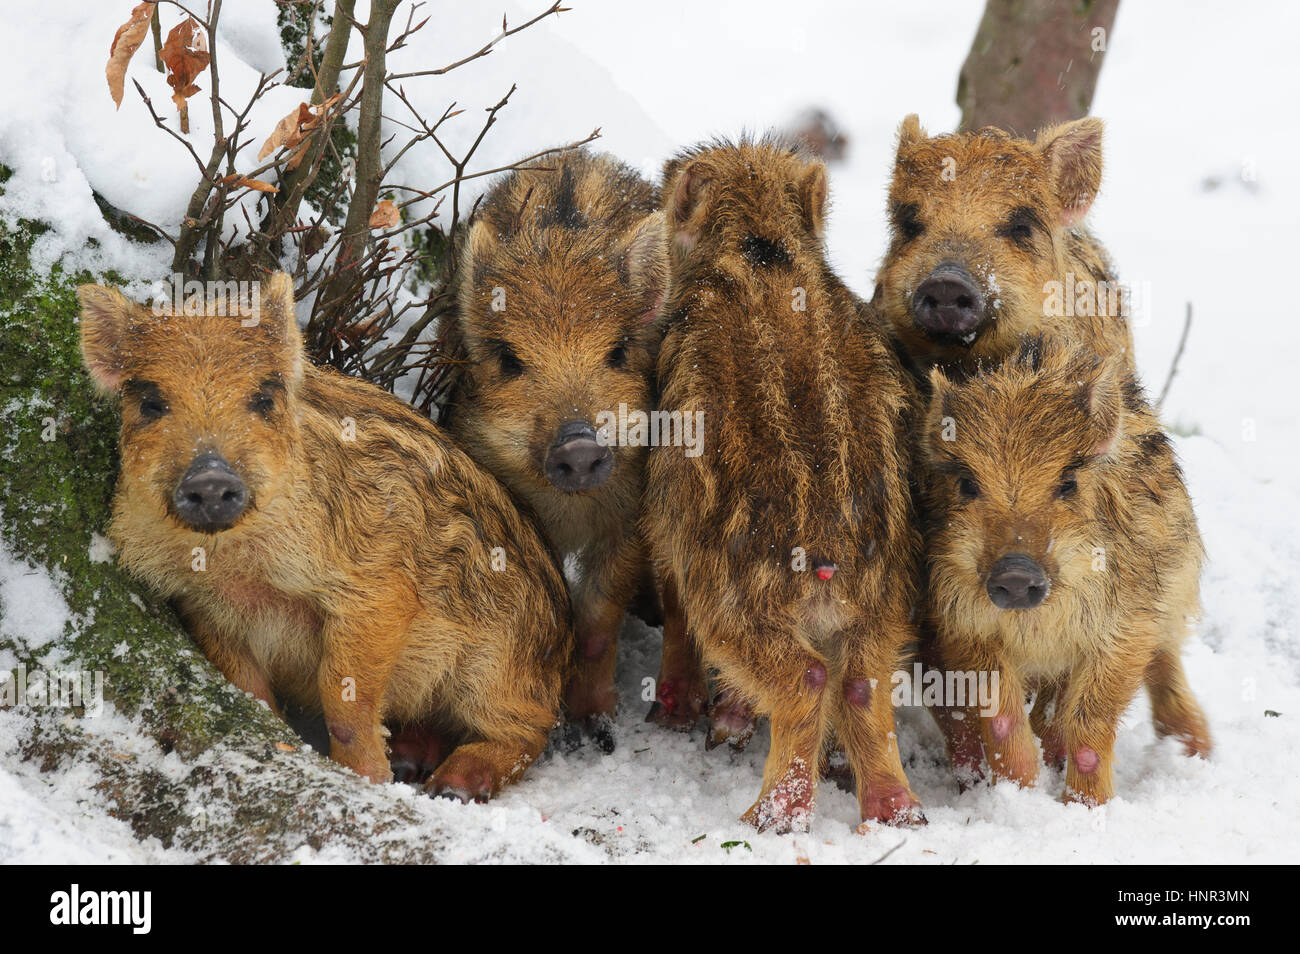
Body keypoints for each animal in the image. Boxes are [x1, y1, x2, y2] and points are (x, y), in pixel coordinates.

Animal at [77, 273, 574, 802]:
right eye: (151, 403)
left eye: (264, 399)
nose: (210, 477)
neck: (236, 567)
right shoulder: (202, 606)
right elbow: (247, 687)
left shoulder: (378, 586)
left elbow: (343, 693)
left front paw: (370, 780)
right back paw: (412, 761)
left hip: (504, 660)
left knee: (528, 728)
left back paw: (449, 788)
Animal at [443, 150, 675, 750]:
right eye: (509, 359)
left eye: (618, 351)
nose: (578, 446)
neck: (569, 510)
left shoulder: (630, 519)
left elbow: (596, 619)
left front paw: (597, 729)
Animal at [643, 137, 924, 833]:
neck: (762, 248)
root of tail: (826, 554)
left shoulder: (665, 515)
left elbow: (669, 596)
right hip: (884, 599)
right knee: (862, 683)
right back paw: (899, 814)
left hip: (734, 597)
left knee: (808, 679)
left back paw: (769, 818)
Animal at [920, 335, 1211, 805]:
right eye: (967, 483)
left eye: (1068, 483)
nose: (1015, 573)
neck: (1038, 626)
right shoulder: (962, 624)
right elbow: (1002, 717)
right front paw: (1020, 794)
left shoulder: (1126, 628)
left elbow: (1090, 721)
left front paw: (1086, 807)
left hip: (1173, 592)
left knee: (1165, 658)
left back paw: (1199, 752)